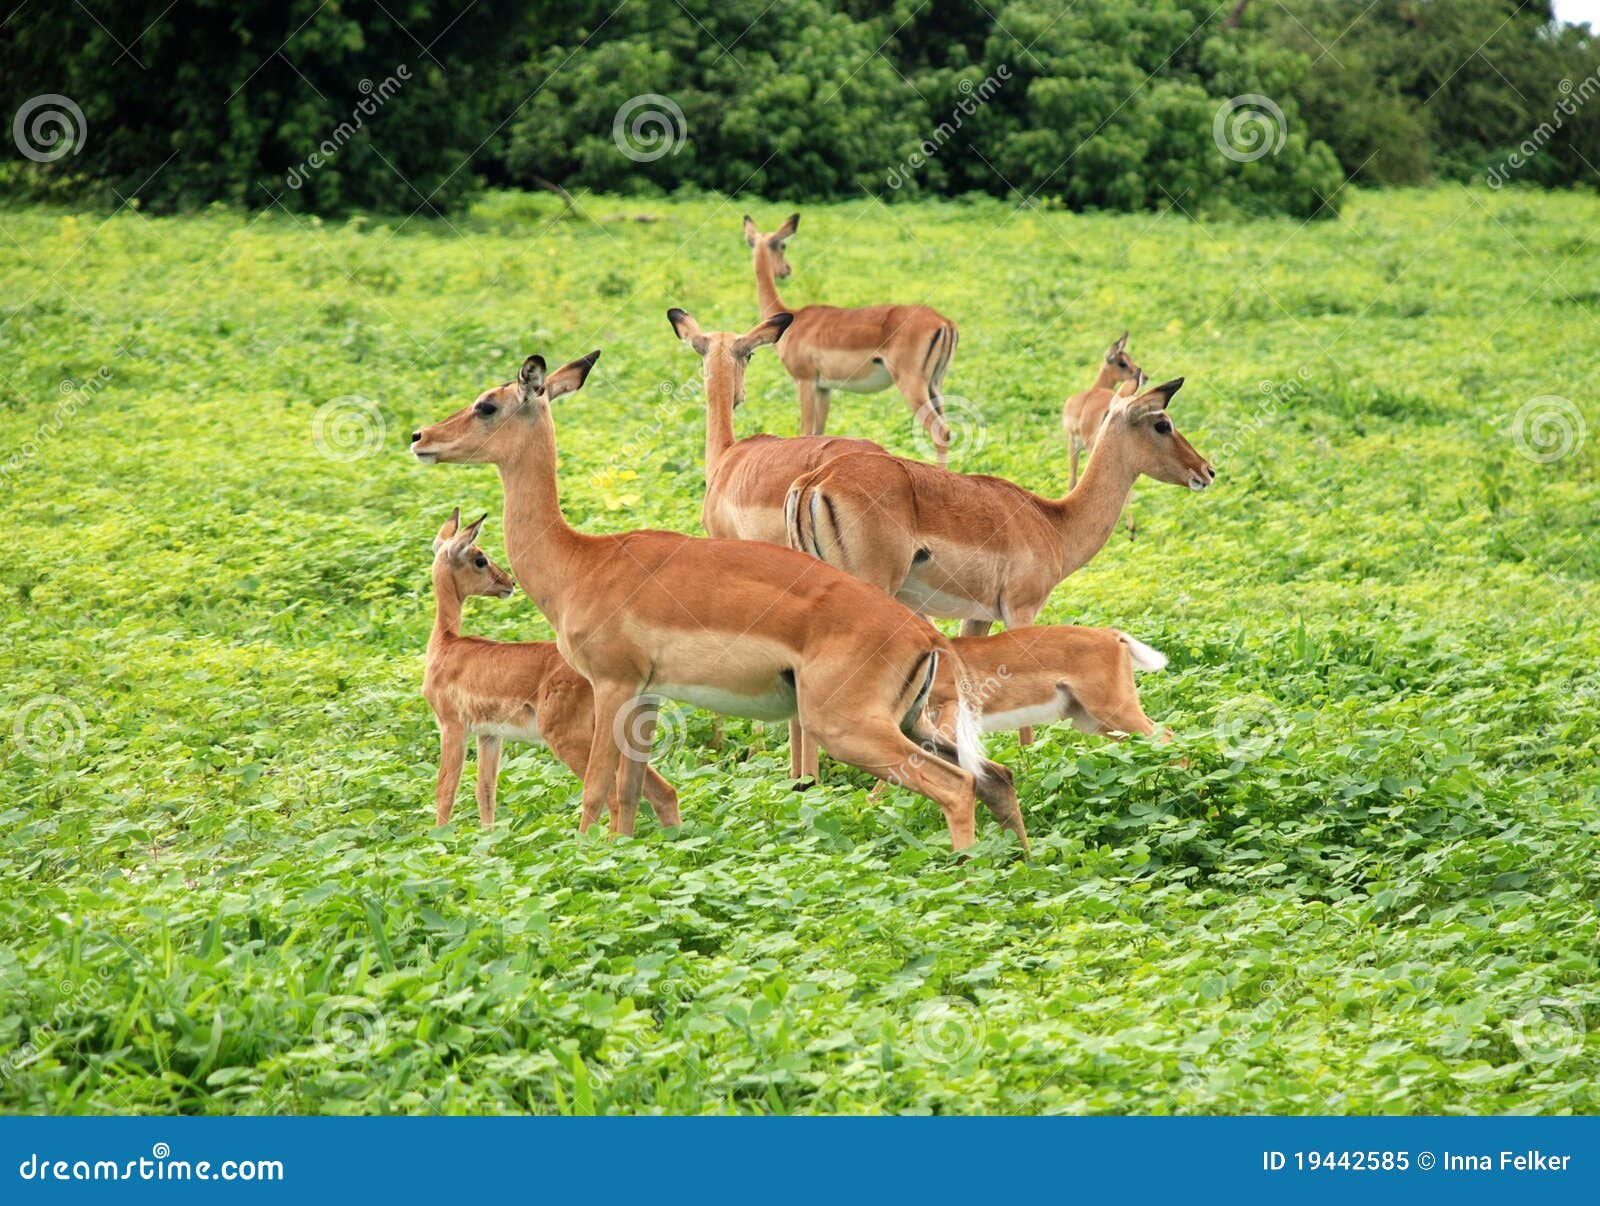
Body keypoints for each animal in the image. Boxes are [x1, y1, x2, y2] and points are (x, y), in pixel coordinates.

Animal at [423, 508, 681, 829]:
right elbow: (485, 793)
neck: (446, 645)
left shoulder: (452, 726)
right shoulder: (489, 735)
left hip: (569, 738)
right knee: (660, 791)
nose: (508, 583)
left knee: (607, 797)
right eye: (480, 559)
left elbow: (445, 790)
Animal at [744, 213, 959, 465]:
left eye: (783, 244)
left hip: (911, 384)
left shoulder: (805, 381)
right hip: (935, 385)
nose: (786, 270)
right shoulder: (823, 388)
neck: (791, 318)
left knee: (940, 432)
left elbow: (805, 432)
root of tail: (944, 322)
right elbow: (818, 434)